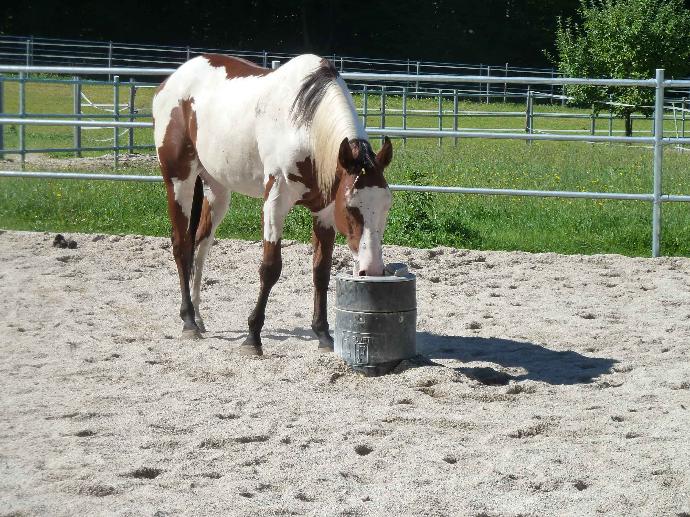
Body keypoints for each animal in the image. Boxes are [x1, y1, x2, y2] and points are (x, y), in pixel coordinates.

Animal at [152, 54, 393, 356]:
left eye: (386, 207)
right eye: (351, 207)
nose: (371, 271)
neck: (304, 125)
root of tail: (169, 83)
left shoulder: (324, 212)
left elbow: (321, 271)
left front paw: (323, 334)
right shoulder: (275, 202)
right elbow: (270, 268)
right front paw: (252, 336)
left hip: (217, 190)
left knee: (201, 245)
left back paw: (198, 317)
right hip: (178, 181)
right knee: (181, 245)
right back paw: (188, 321)